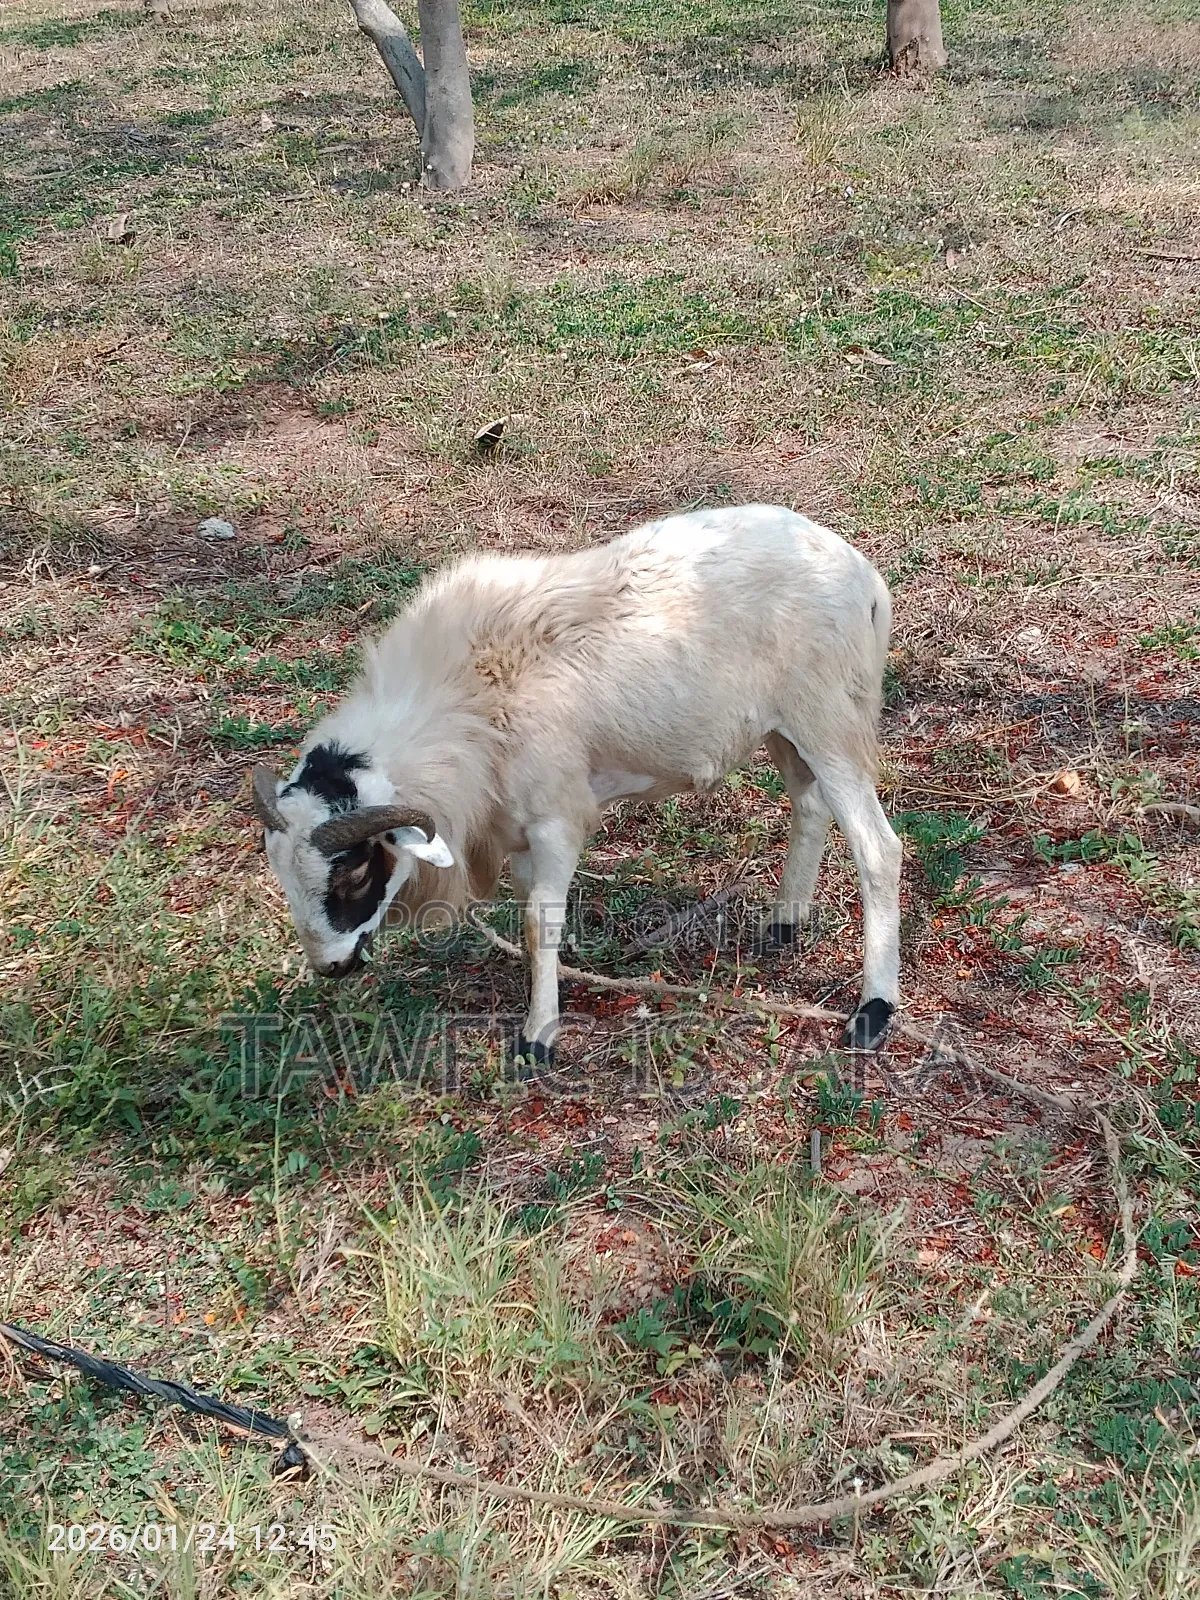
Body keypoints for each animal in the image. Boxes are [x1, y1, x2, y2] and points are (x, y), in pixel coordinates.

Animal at [251, 503, 902, 1062]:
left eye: (356, 873)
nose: (331, 968)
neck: (466, 700)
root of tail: (863, 577)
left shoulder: (556, 816)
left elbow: (541, 919)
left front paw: (537, 1036)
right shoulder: (514, 824)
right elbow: (528, 911)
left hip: (830, 719)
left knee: (878, 849)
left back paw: (873, 1010)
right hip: (784, 727)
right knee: (809, 805)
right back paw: (785, 922)